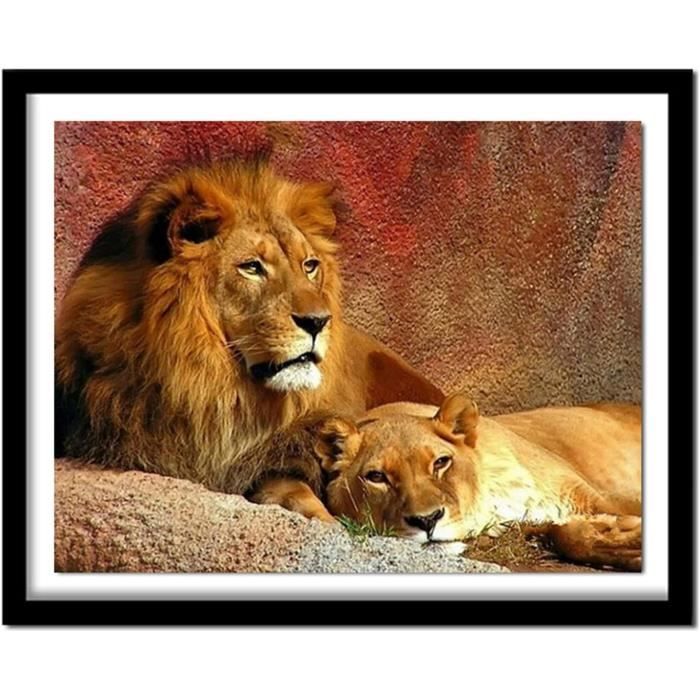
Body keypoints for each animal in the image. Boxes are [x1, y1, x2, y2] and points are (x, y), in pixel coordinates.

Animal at [314, 393, 642, 570]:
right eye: (377, 477)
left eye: (441, 462)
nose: (427, 520)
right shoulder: (533, 522)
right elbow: (567, 536)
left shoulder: (593, 494)